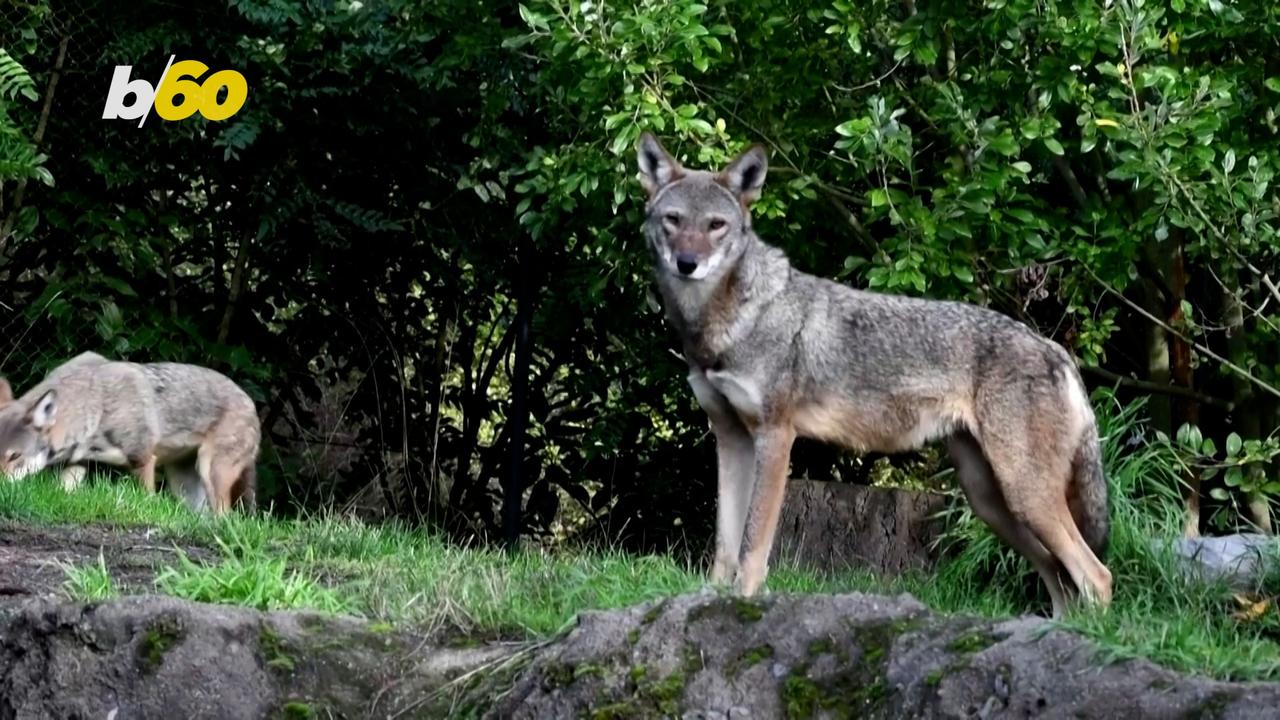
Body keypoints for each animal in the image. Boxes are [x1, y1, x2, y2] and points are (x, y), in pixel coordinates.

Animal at [0, 352, 259, 514]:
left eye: (15, 456)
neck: (97, 406)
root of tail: (251, 402)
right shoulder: (78, 463)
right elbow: (63, 489)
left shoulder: (143, 459)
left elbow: (147, 498)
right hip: (185, 485)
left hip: (210, 472)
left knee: (226, 517)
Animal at [636, 133, 1112, 618]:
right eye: (674, 220)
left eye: (716, 225)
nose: (687, 262)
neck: (727, 322)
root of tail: (1056, 349)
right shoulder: (731, 439)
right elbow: (725, 542)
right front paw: (709, 601)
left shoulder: (775, 437)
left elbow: (753, 543)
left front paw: (745, 604)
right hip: (993, 502)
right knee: (1060, 576)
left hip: (1022, 495)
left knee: (1097, 575)